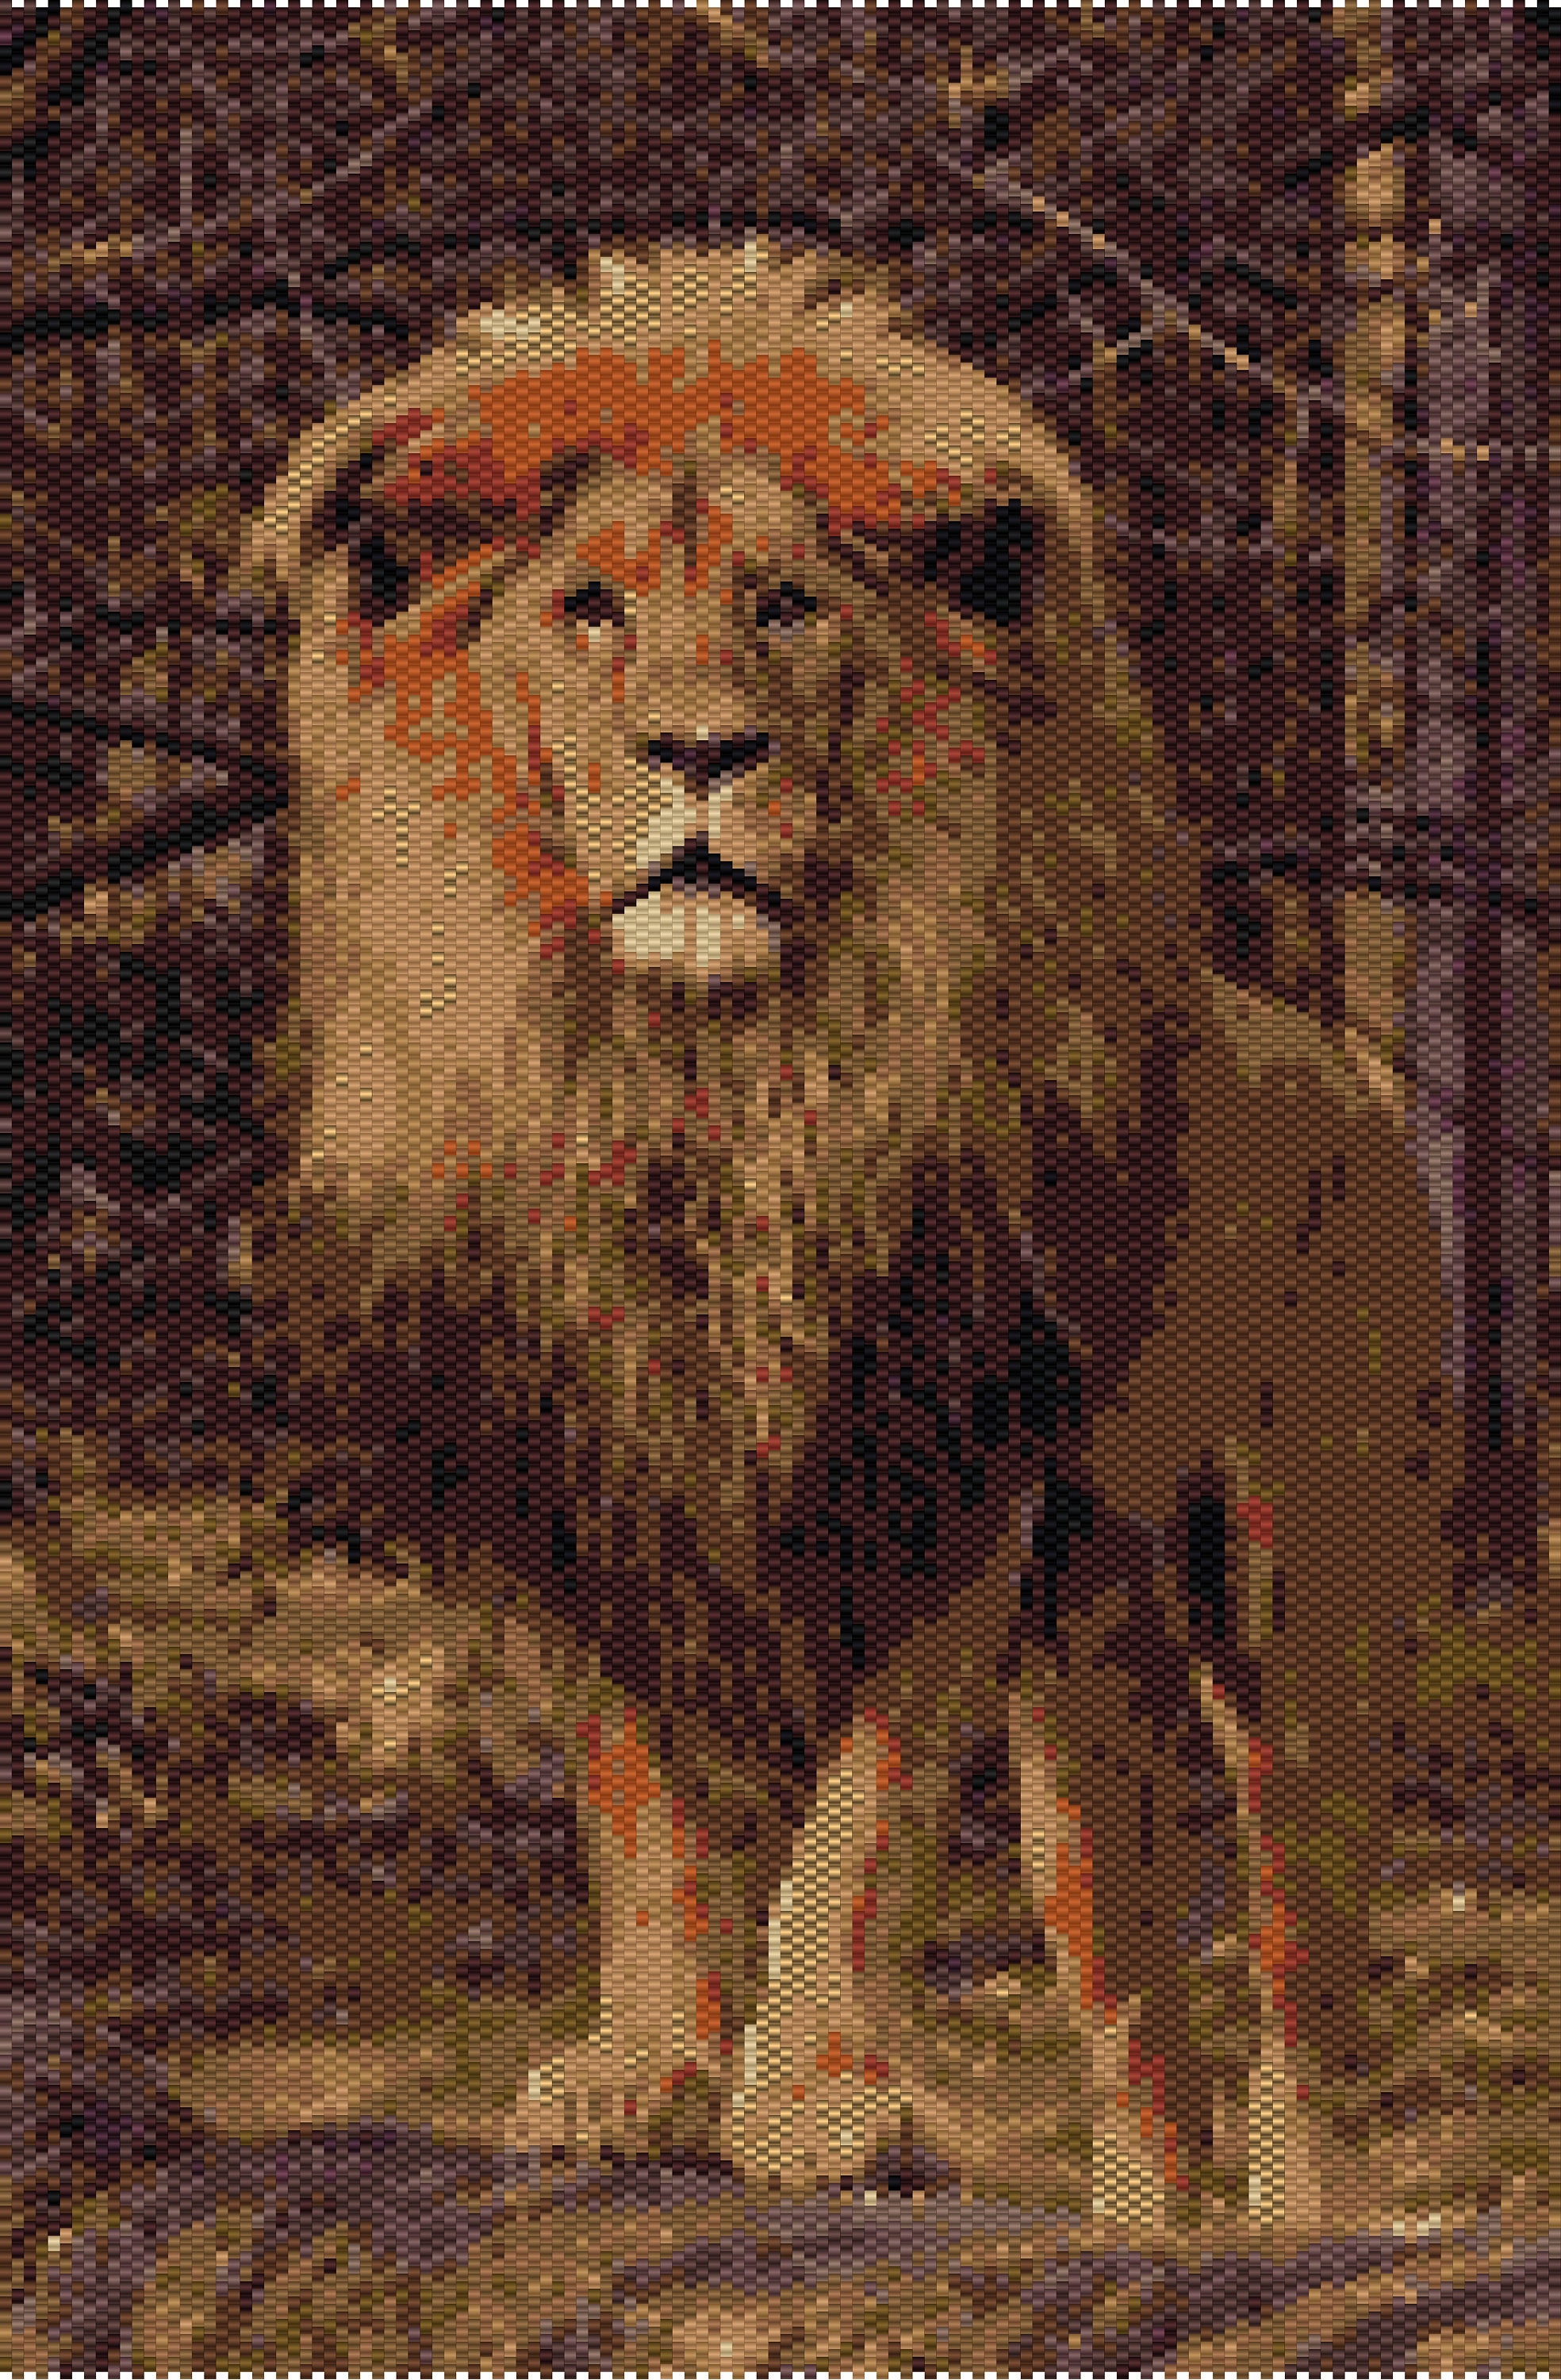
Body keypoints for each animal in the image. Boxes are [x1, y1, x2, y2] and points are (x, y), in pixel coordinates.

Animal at [13, 236, 1463, 2238]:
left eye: (783, 608)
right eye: (591, 612)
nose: (702, 752)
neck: (696, 1073)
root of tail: (1337, 1056)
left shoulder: (943, 1463)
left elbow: (861, 1823)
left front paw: (826, 2104)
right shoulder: (579, 1478)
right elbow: (640, 1815)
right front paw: (641, 2080)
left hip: (1303, 1622)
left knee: (1303, 1994)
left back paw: (1286, 2230)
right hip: (1086, 1691)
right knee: (1132, 2010)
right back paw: (1139, 2226)